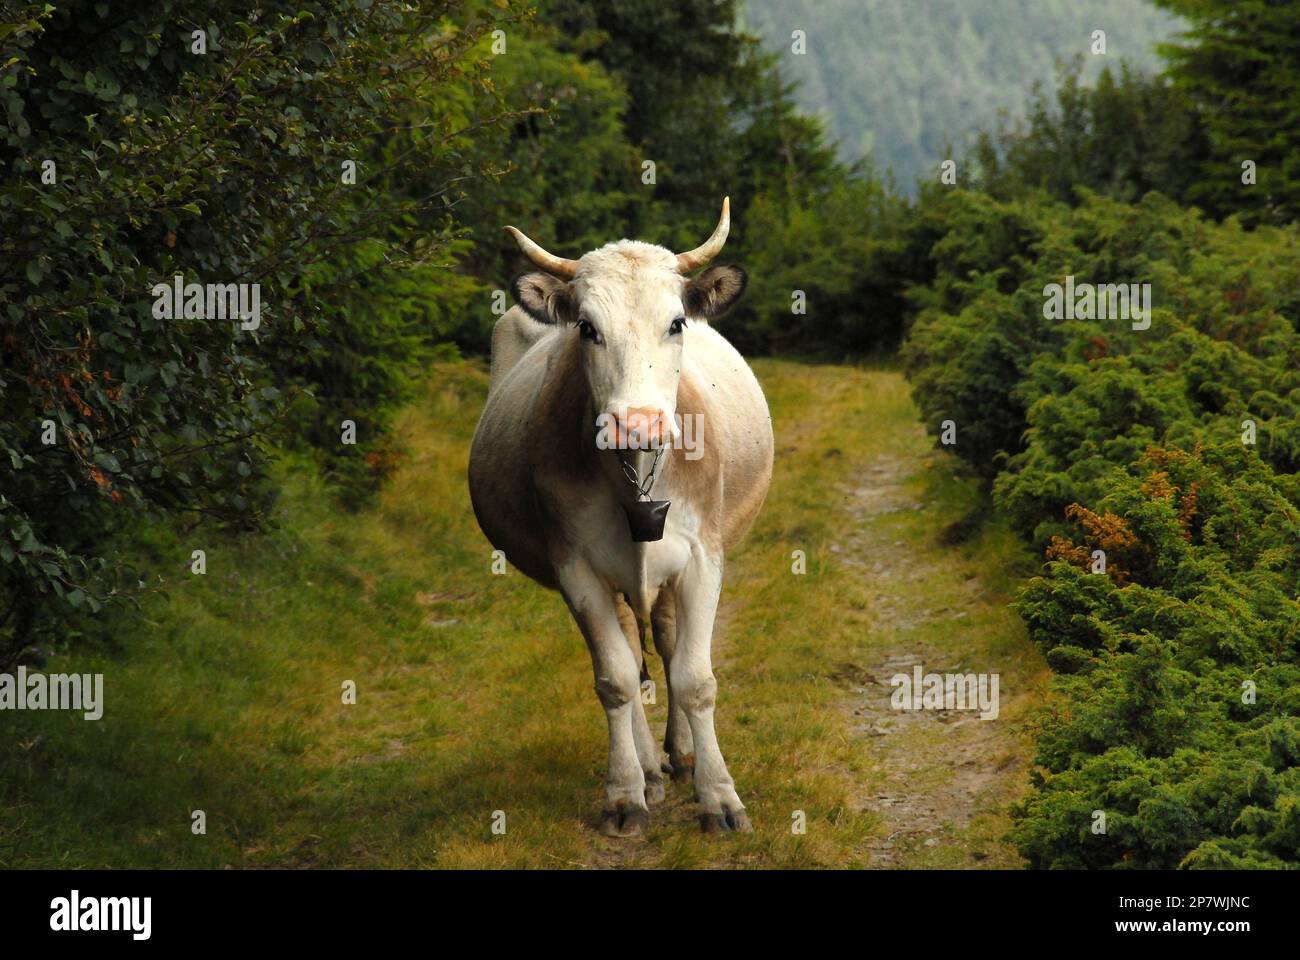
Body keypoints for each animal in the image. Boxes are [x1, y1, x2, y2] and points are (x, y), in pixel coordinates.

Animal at [468, 199, 774, 836]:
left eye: (677, 322)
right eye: (587, 327)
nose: (638, 423)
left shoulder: (703, 555)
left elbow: (695, 678)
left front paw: (719, 798)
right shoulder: (575, 567)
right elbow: (614, 680)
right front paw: (625, 794)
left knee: (668, 643)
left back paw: (682, 755)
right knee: (631, 661)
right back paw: (651, 770)